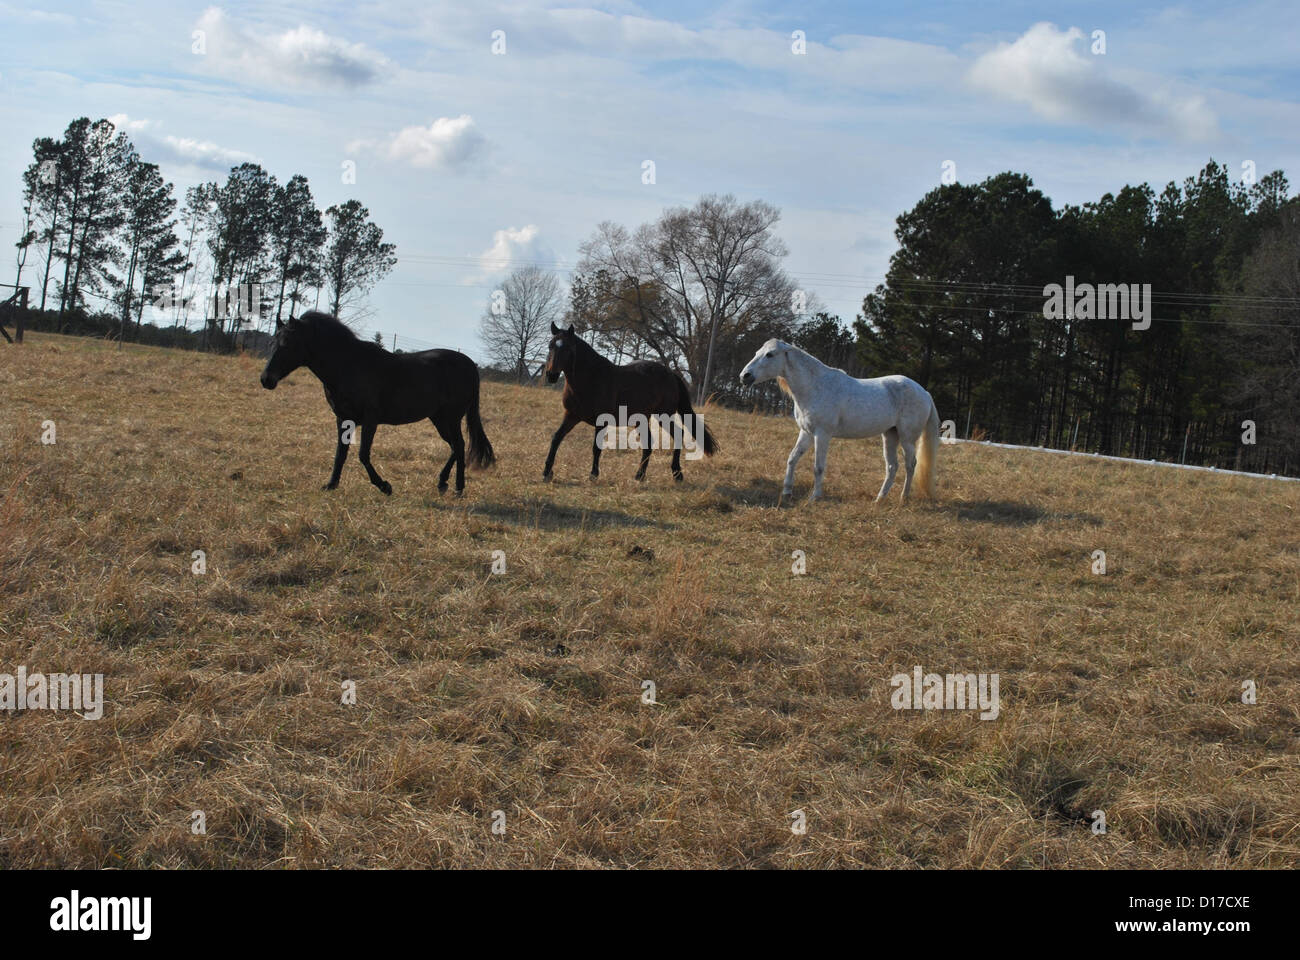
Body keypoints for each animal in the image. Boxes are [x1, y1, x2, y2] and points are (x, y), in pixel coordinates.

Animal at [259, 311, 495, 496]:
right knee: (455, 446)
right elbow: (340, 454)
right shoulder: (343, 419)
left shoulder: (370, 419)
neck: (349, 366)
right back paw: (445, 483)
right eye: (272, 343)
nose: (266, 379)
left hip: (451, 417)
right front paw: (331, 484)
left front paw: (384, 486)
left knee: (459, 445)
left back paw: (455, 487)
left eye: (288, 344)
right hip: (438, 418)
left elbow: (363, 454)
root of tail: (470, 365)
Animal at [542, 322, 717, 482]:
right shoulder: (571, 415)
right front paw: (547, 473)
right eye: (550, 346)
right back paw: (640, 476)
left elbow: (596, 447)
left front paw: (593, 475)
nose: (551, 375)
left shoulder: (601, 421)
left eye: (567, 348)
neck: (591, 379)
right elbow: (556, 438)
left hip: (663, 415)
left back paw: (677, 474)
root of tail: (671, 374)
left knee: (677, 435)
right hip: (642, 419)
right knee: (649, 444)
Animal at [739, 338, 939, 504]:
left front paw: (814, 497)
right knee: (892, 466)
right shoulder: (806, 432)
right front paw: (786, 492)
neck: (815, 386)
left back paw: (903, 498)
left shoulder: (822, 434)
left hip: (907, 438)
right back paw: (879, 499)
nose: (744, 376)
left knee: (910, 465)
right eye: (757, 352)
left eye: (770, 354)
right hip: (890, 435)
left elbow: (818, 467)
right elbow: (792, 458)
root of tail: (924, 392)